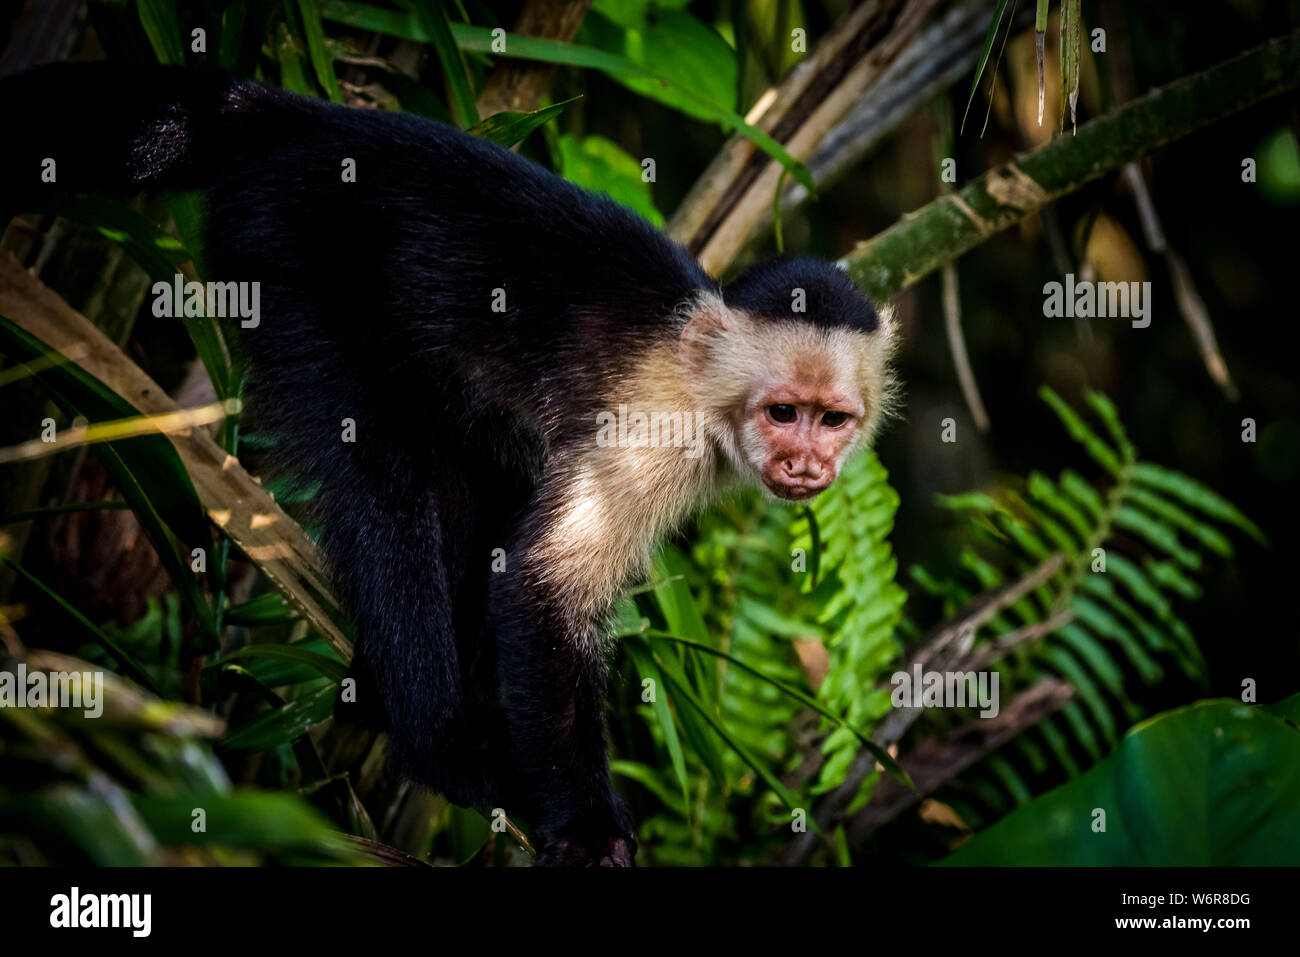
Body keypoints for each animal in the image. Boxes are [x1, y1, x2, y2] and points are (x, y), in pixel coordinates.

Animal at [2, 62, 896, 865]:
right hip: (292, 251)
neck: (705, 387)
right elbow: (543, 584)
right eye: (782, 412)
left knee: (477, 471)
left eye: (832, 419)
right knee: (385, 480)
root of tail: (303, 117)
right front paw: (587, 825)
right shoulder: (655, 431)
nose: (806, 462)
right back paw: (437, 738)